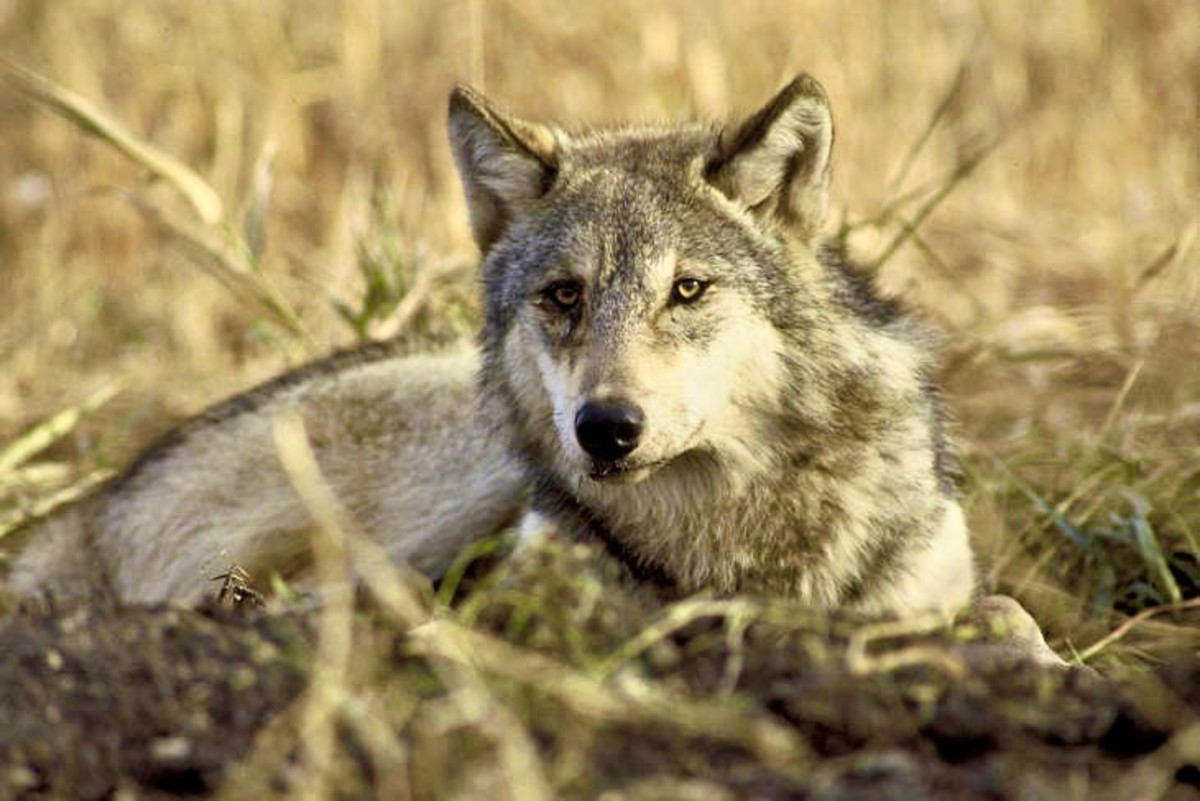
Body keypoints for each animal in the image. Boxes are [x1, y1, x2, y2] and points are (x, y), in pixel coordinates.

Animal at [4, 74, 975, 617]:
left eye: (688, 290)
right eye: (563, 295)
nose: (605, 429)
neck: (729, 536)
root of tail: (90, 509)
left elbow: (991, 612)